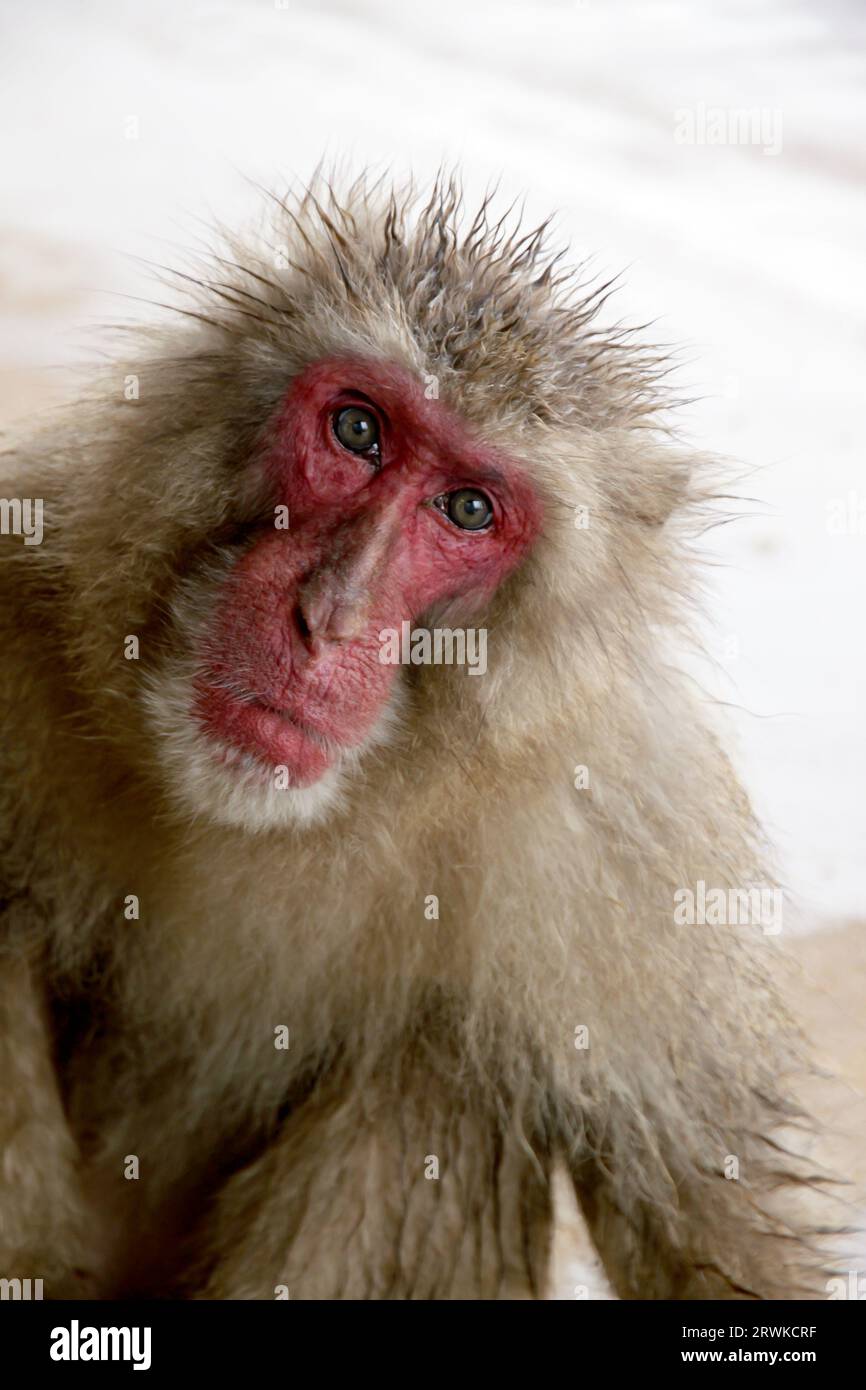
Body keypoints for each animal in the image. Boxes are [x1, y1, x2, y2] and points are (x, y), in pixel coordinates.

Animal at [0, 174, 835, 1301]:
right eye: (358, 431)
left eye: (468, 508)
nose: (330, 614)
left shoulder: (631, 843)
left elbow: (701, 1211)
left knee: (446, 1074)